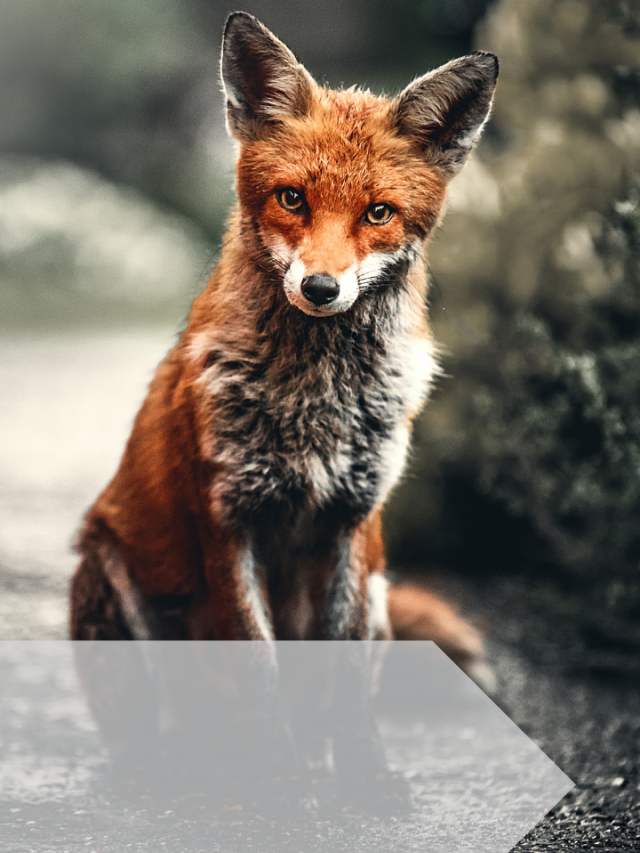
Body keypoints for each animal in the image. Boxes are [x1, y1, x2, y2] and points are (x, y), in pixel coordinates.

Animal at [69, 12, 497, 797]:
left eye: (379, 213)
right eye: (292, 198)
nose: (322, 288)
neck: (315, 401)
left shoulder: (354, 521)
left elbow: (345, 672)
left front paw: (361, 773)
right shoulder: (226, 518)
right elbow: (258, 664)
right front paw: (281, 780)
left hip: (382, 587)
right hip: (111, 582)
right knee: (155, 733)